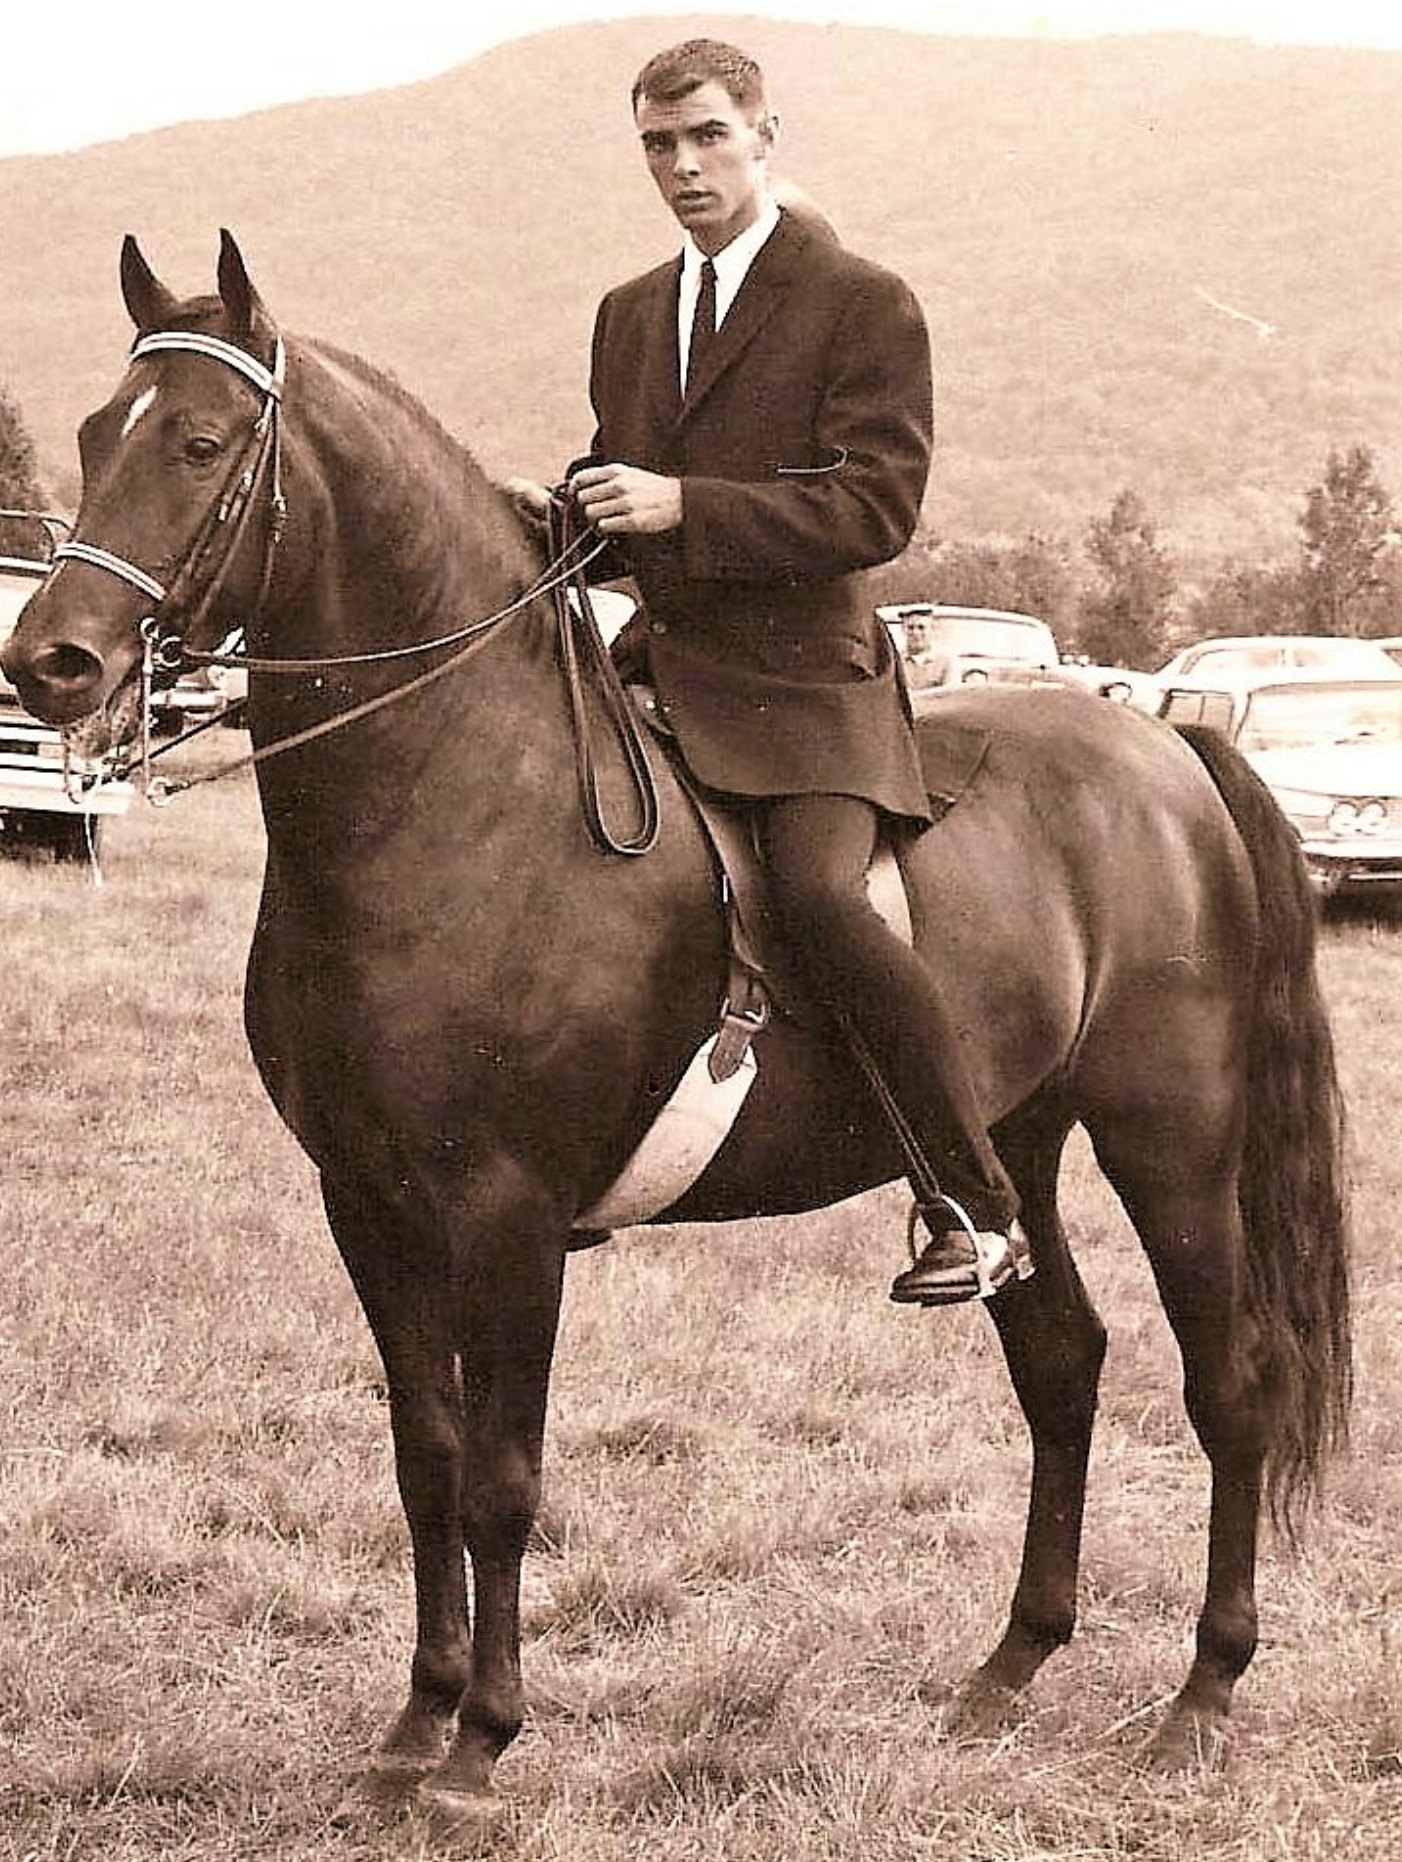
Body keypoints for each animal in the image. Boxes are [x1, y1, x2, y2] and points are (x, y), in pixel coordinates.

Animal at [2, 232, 1350, 1824]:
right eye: (95, 432)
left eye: (201, 443)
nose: (51, 665)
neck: (465, 800)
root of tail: (1167, 746)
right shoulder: (369, 1204)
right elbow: (424, 1459)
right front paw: (412, 1726)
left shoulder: (508, 1215)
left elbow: (502, 1477)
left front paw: (480, 1743)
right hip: (1014, 1141)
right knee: (1061, 1359)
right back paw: (1006, 1667)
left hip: (1172, 1141)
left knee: (1228, 1383)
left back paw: (1201, 1692)